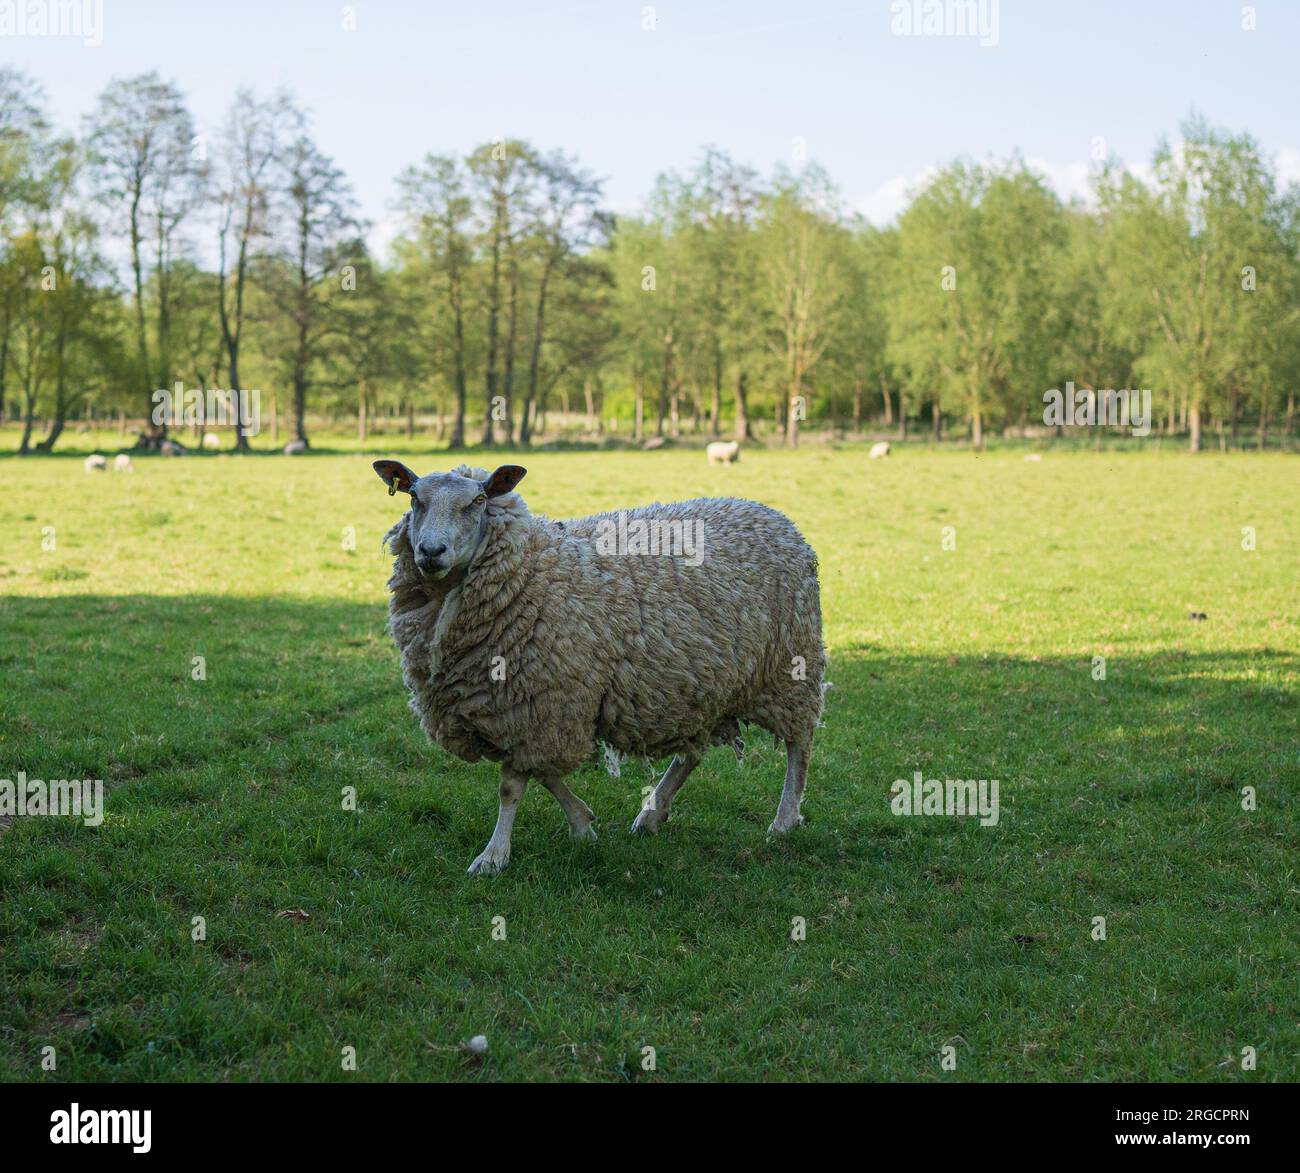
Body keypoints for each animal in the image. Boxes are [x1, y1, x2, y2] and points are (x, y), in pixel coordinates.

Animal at [373, 460, 826, 875]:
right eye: (415, 498)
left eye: (478, 501)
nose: (430, 552)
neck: (527, 571)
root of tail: (774, 516)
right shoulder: (532, 709)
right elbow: (543, 775)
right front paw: (582, 825)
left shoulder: (539, 704)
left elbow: (512, 786)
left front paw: (494, 855)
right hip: (703, 682)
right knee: (692, 753)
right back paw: (652, 813)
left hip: (789, 670)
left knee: (799, 744)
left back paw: (784, 820)